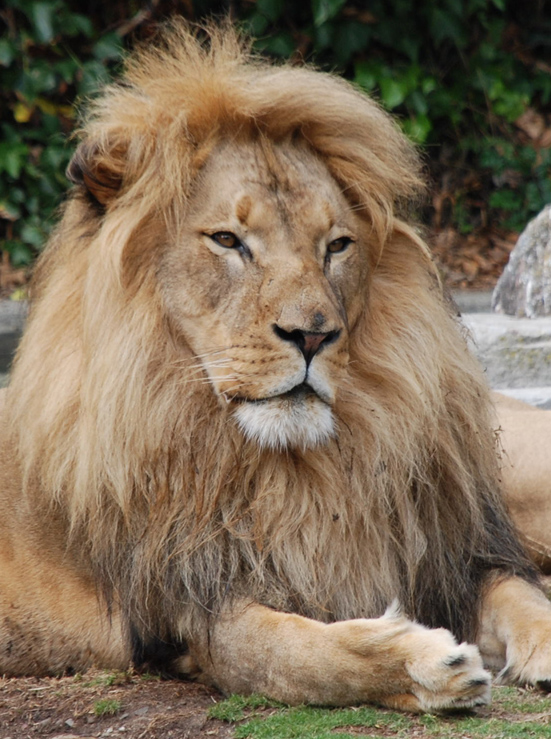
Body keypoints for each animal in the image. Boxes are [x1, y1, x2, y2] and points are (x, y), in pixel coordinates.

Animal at [2, 21, 551, 712]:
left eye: (337, 245)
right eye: (227, 241)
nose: (312, 334)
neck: (296, 470)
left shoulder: (455, 550)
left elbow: (523, 594)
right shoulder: (199, 612)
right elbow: (306, 656)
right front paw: (427, 663)